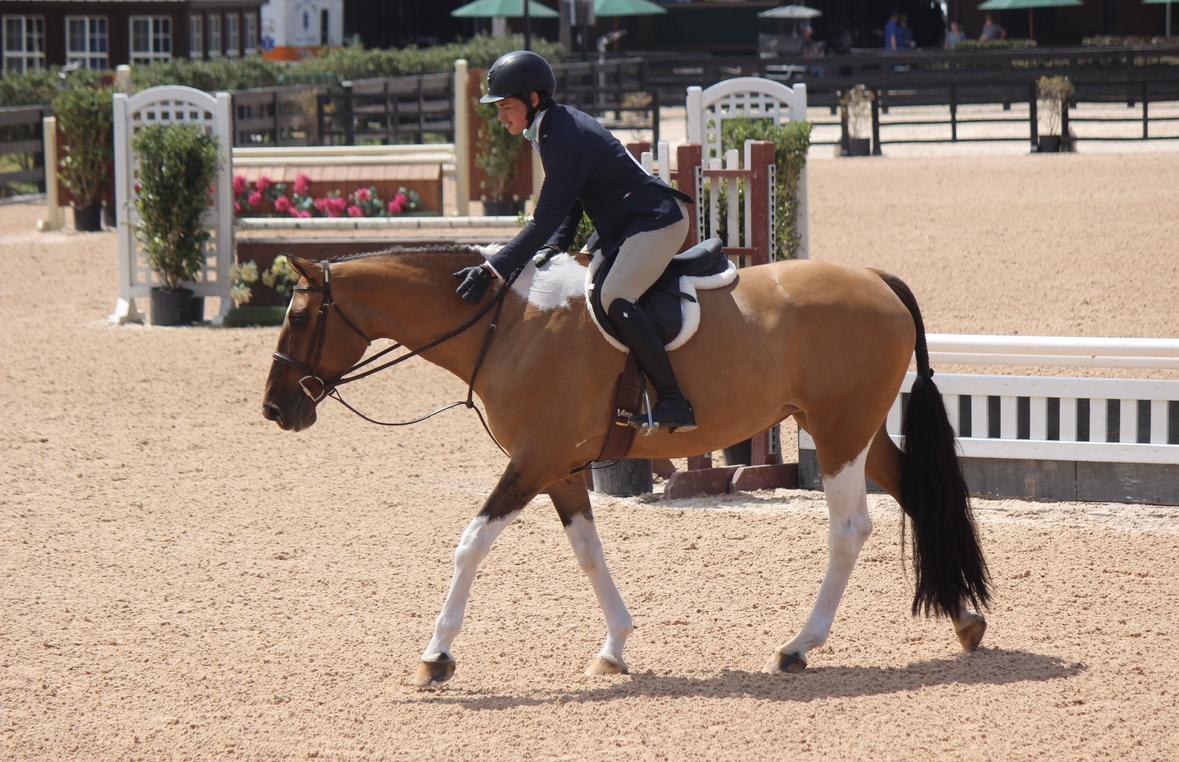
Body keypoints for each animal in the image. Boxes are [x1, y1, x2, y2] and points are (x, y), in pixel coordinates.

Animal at [261, 245, 990, 687]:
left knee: (848, 531)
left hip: (838, 433)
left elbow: (470, 543)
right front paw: (613, 648)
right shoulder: (559, 468)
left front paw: (436, 657)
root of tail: (876, 280)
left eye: (296, 316)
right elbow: (587, 551)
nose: (274, 410)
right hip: (853, 431)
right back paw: (964, 620)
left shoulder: (534, 459)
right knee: (917, 498)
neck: (506, 325)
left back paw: (798, 645)